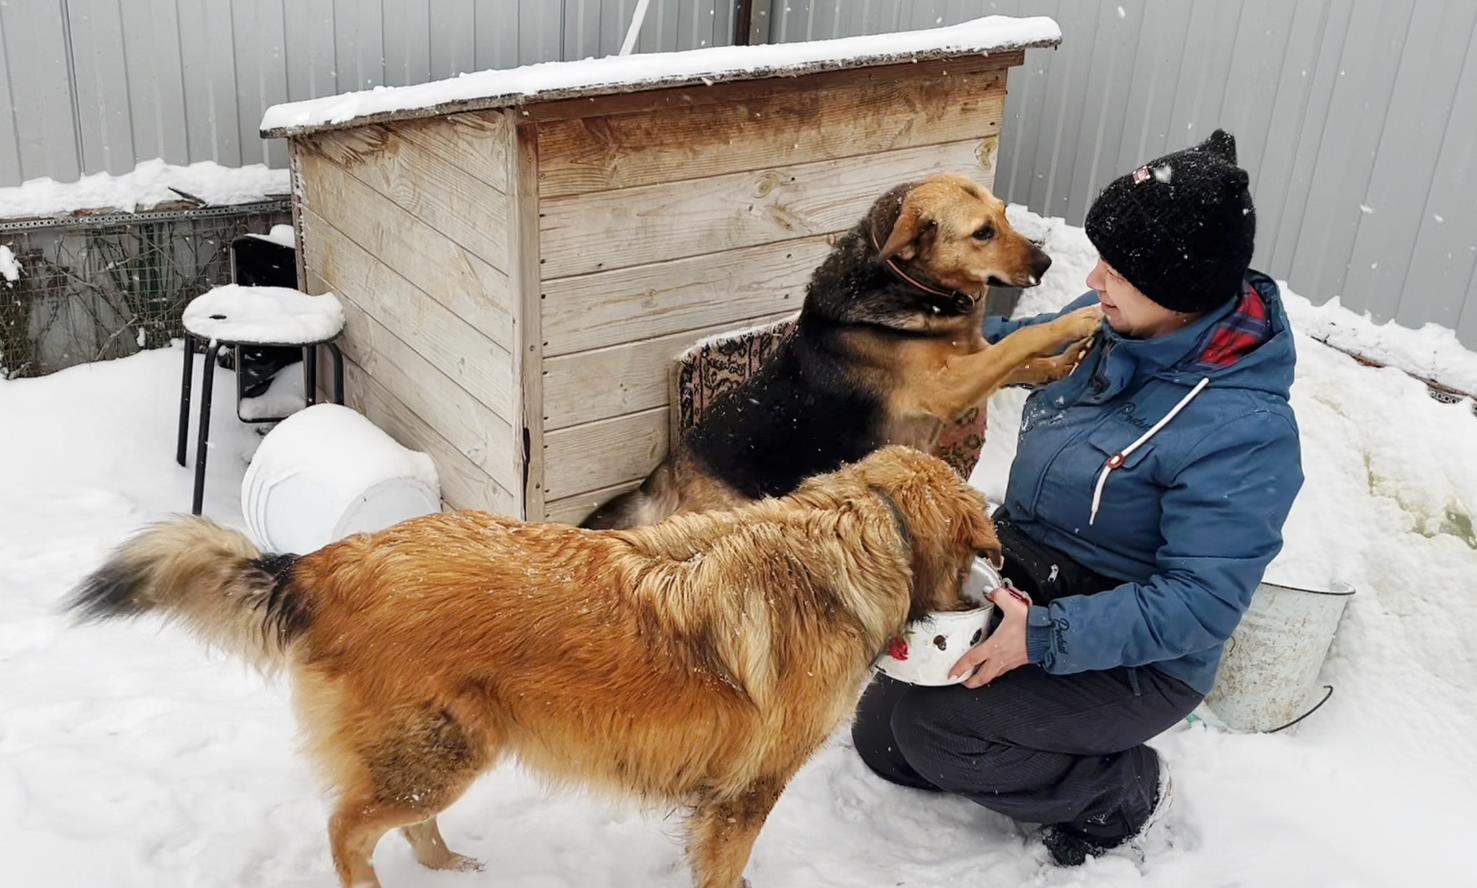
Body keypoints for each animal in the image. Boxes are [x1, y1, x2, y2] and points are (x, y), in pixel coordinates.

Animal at [74, 446, 1010, 886]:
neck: (862, 531)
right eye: (980, 553)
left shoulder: (720, 798)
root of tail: (325, 562)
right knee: (346, 830)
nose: (1004, 597)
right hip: (441, 754)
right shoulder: (749, 791)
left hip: (445, 756)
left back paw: (449, 867)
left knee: (399, 824)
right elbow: (726, 867)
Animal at [581, 176, 1104, 528]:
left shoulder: (972, 354)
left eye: (1004, 215)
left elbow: (1022, 358)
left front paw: (1066, 361)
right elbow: (1019, 341)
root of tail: (665, 476)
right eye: (982, 233)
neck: (907, 286)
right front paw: (1078, 319)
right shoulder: (947, 385)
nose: (1046, 262)